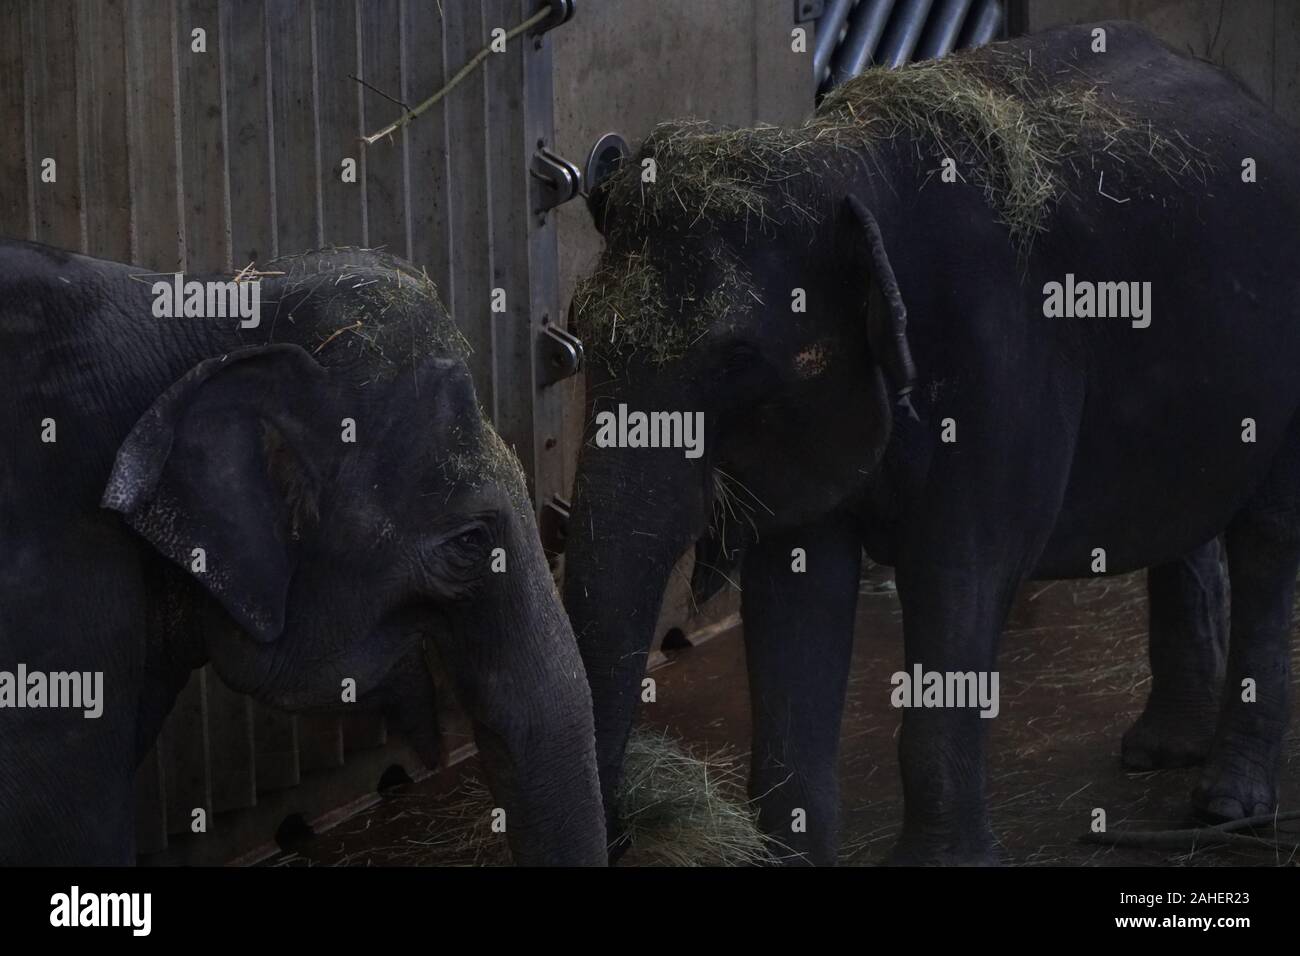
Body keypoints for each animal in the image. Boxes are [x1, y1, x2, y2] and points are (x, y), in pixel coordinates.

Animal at [564, 18, 1294, 863]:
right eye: (578, 330)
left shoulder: (1001, 359)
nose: (630, 825)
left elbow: (957, 576)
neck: (840, 168)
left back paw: (1227, 802)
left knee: (1267, 542)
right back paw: (1160, 751)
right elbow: (795, 592)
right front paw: (789, 855)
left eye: (735, 359)